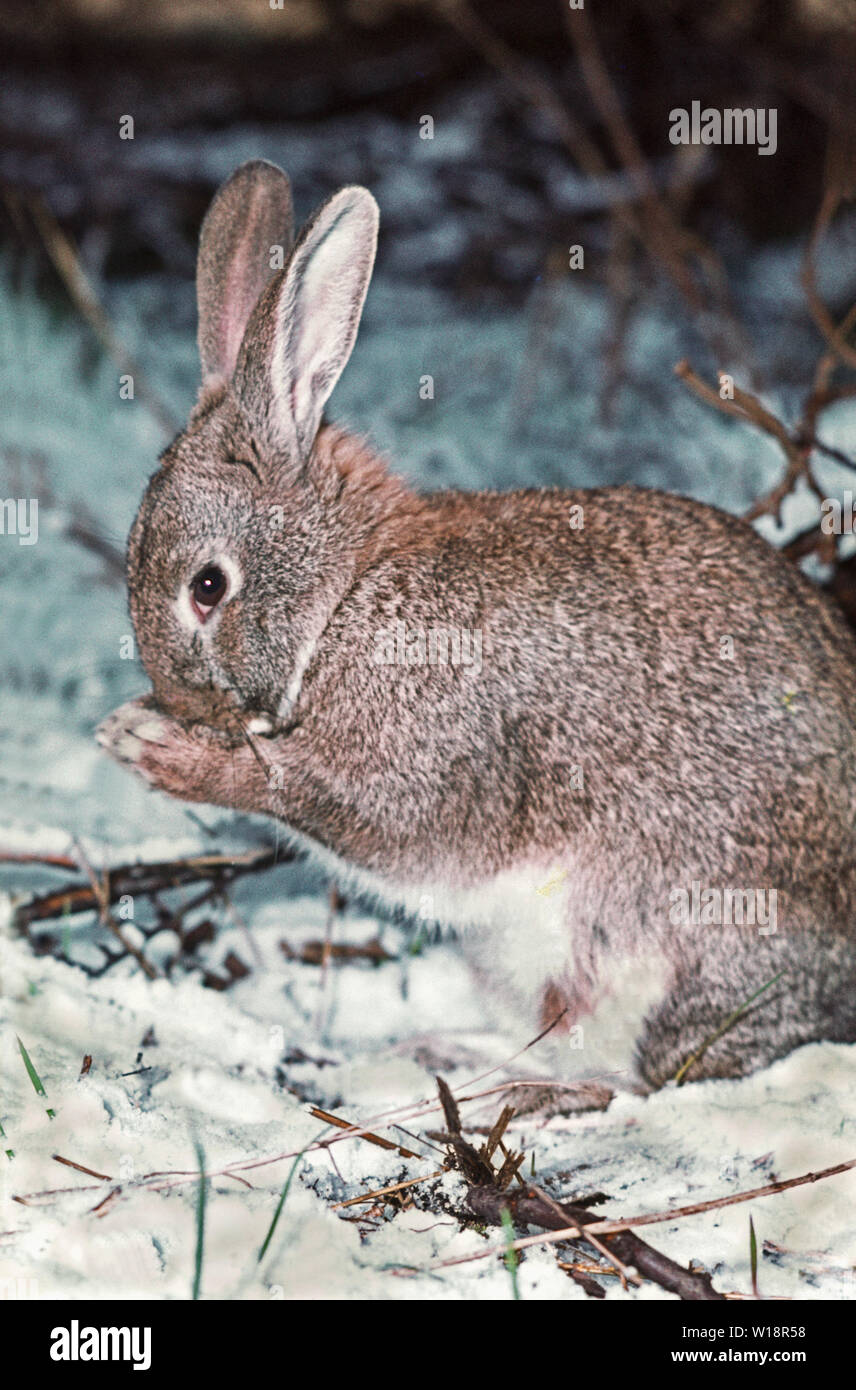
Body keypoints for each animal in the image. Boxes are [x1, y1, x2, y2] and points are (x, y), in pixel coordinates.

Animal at [97, 158, 856, 1092]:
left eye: (207, 587)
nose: (182, 705)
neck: (347, 591)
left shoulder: (427, 762)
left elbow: (326, 802)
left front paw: (153, 748)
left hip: (667, 949)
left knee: (650, 1076)